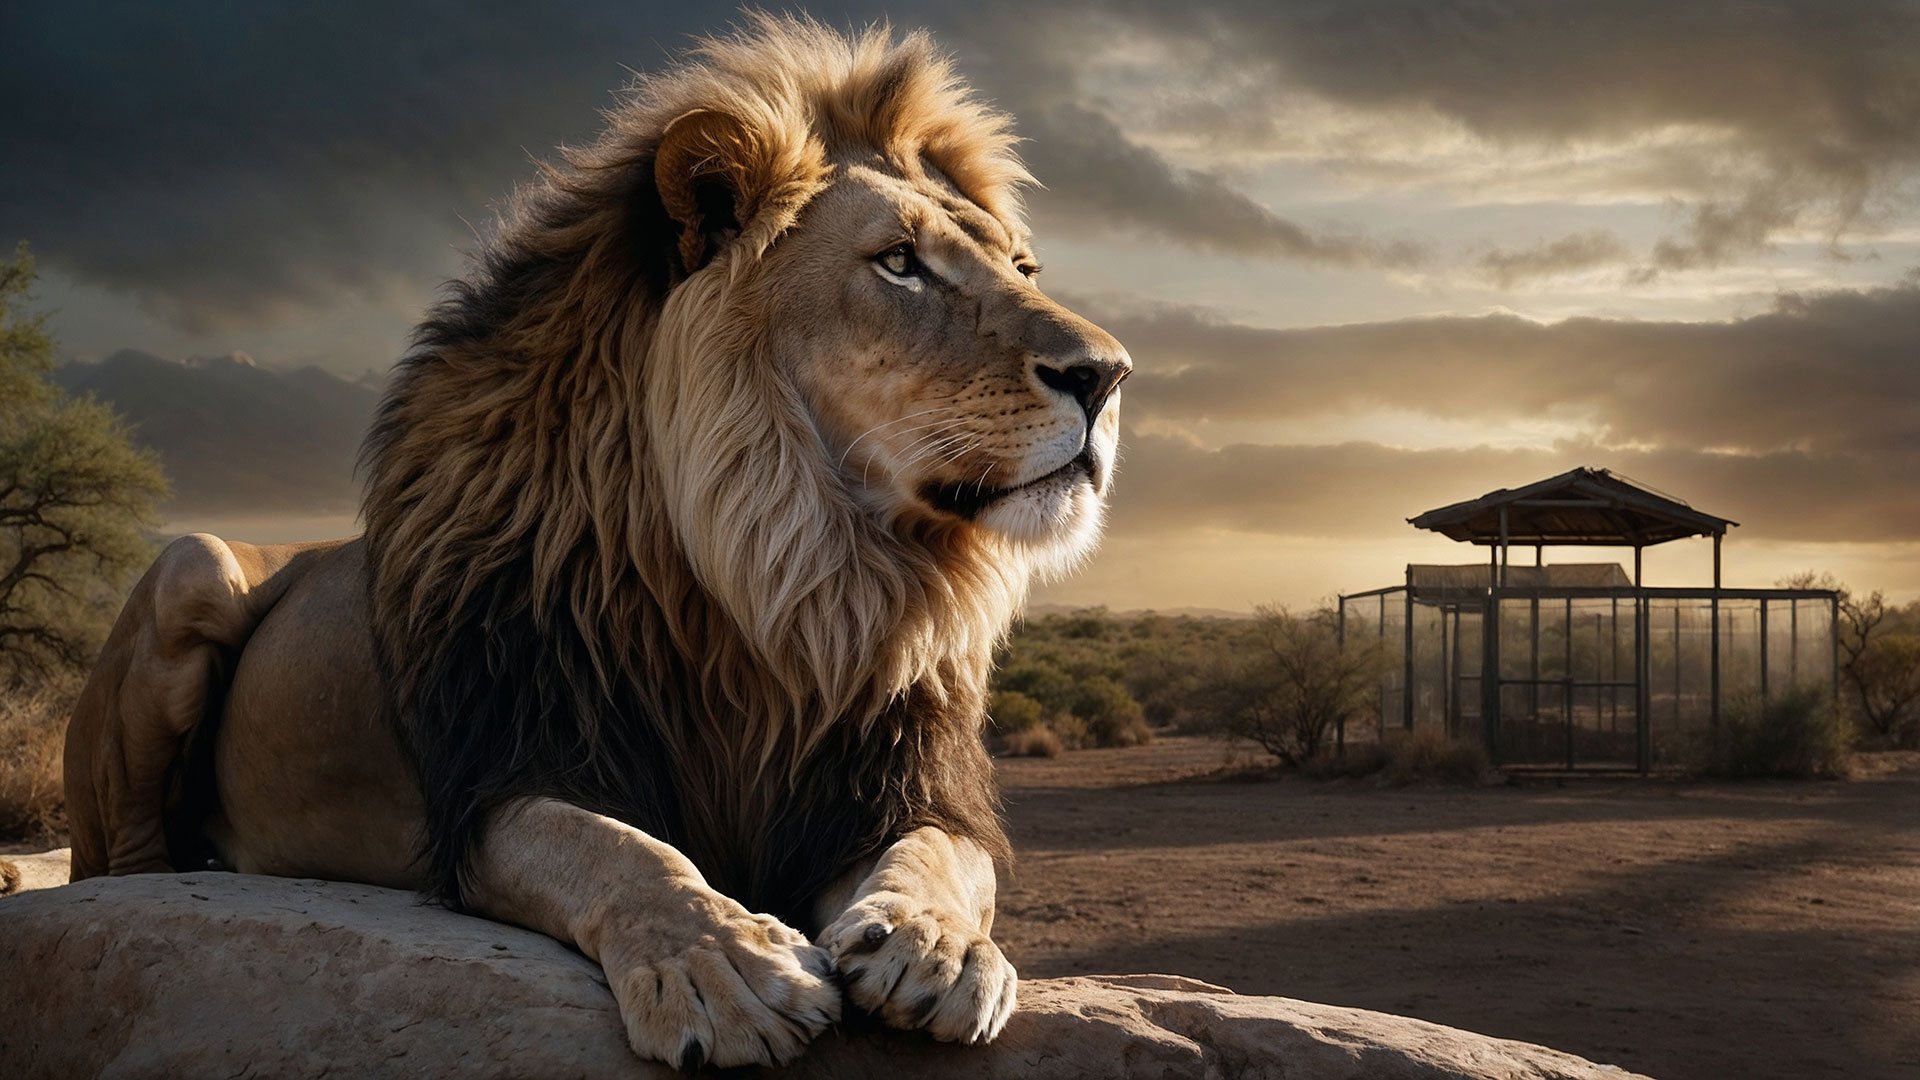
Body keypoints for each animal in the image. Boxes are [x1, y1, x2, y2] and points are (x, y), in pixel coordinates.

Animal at [61, 15, 1129, 1071]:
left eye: (1023, 269)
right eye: (899, 261)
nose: (1108, 374)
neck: (786, 574)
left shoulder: (894, 777)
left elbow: (939, 855)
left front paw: (934, 944)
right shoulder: (497, 781)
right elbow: (620, 850)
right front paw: (722, 965)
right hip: (190, 569)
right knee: (117, 872)